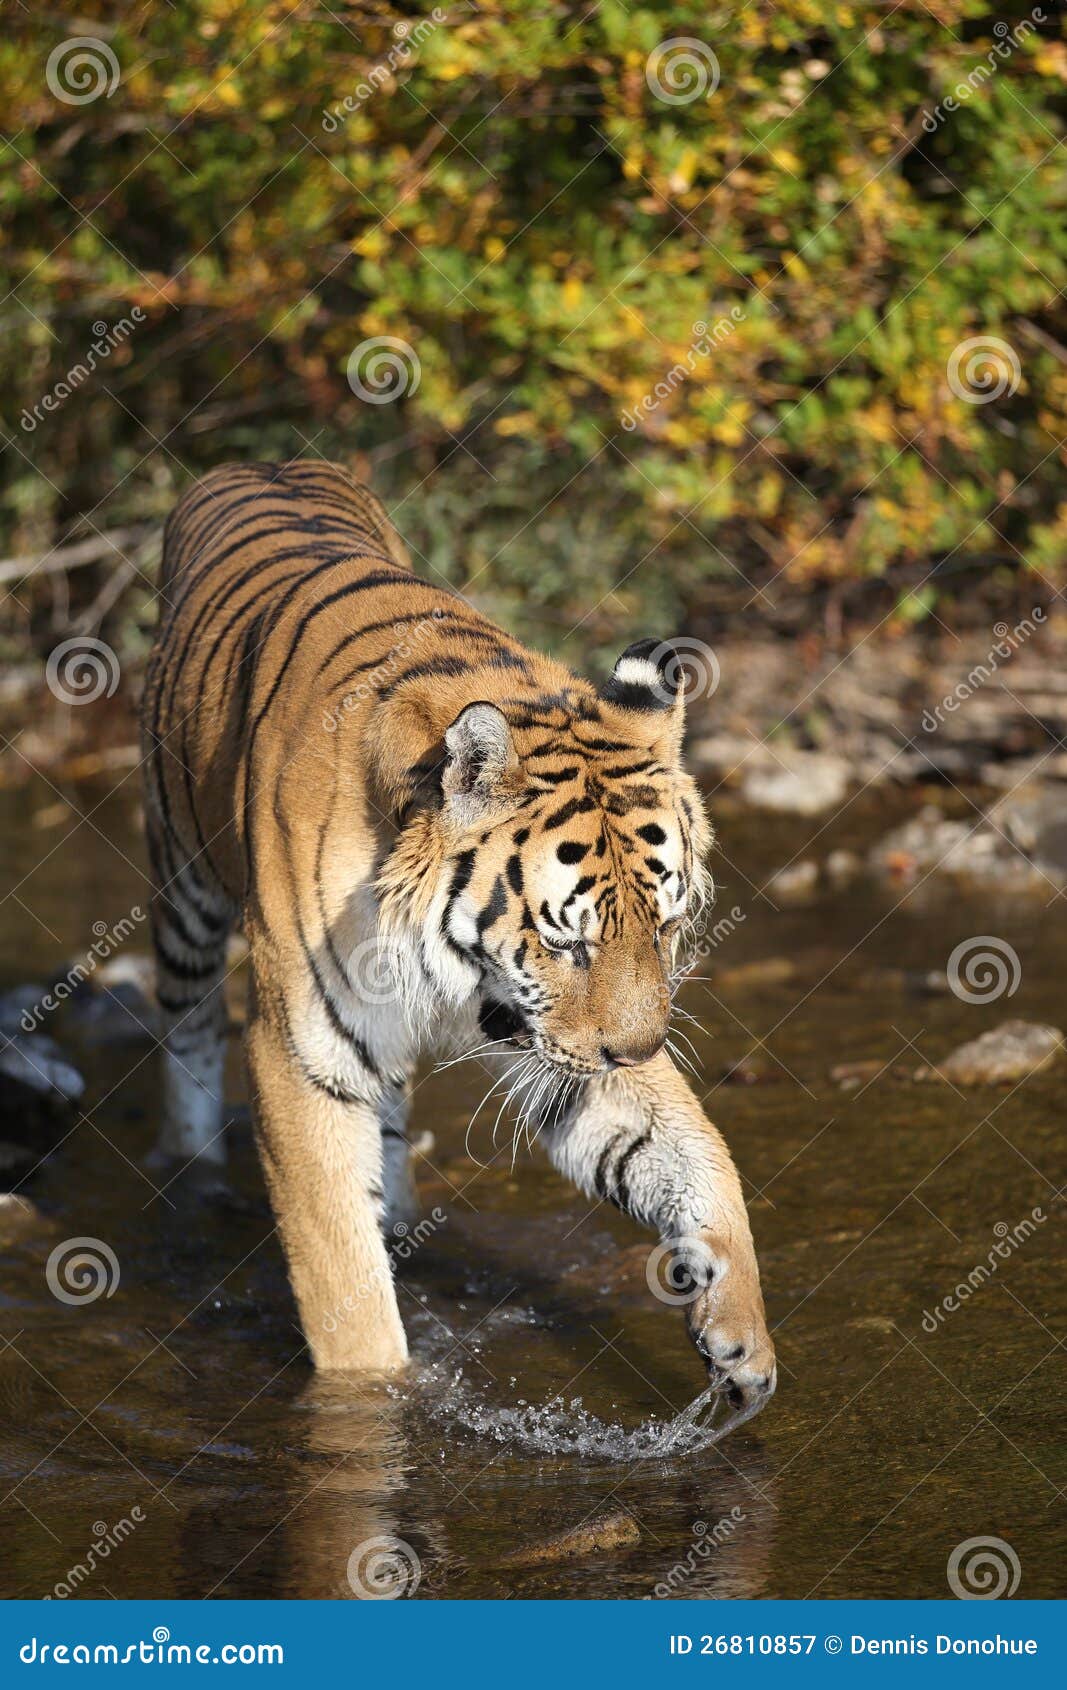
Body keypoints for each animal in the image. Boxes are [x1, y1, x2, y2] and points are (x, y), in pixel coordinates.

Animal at [141, 459, 776, 1429]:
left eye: (663, 925)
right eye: (568, 941)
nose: (637, 1051)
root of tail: (260, 462)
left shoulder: (553, 1042)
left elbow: (695, 1161)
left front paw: (738, 1338)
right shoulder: (303, 1057)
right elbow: (344, 1286)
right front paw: (376, 1406)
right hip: (183, 888)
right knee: (187, 1034)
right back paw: (190, 1173)